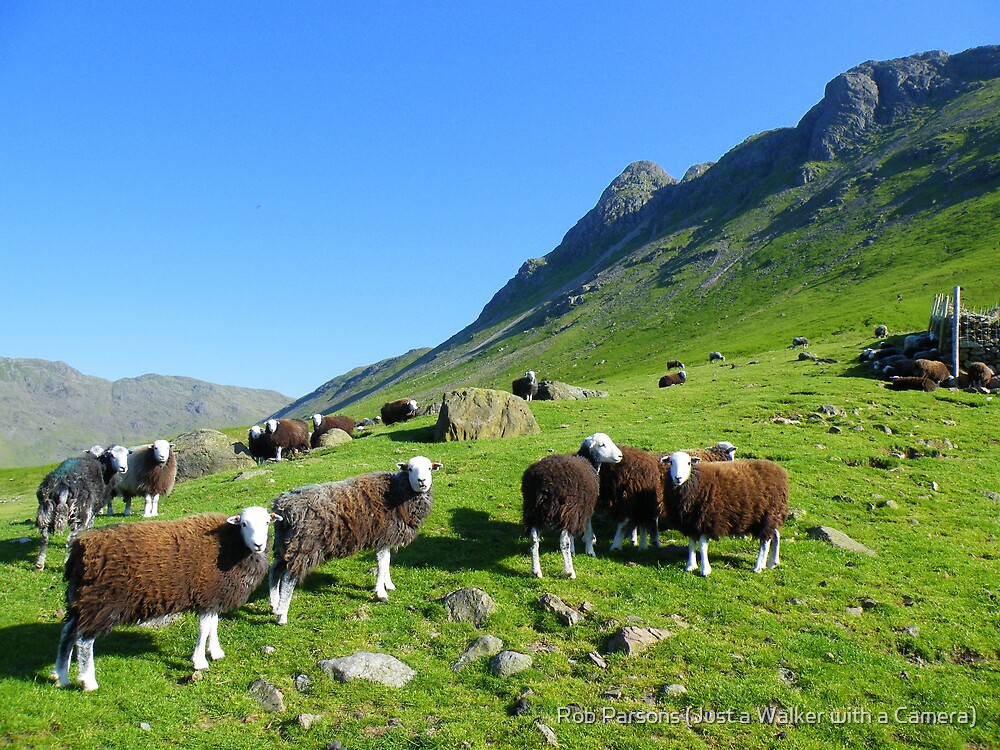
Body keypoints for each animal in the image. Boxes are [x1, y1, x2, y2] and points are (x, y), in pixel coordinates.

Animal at [52, 506, 280, 691]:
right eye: (243, 523)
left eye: (267, 522)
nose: (259, 545)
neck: (231, 544)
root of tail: (80, 549)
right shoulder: (207, 594)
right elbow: (204, 629)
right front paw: (199, 661)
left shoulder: (213, 597)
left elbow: (213, 625)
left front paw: (215, 652)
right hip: (102, 601)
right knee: (84, 640)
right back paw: (88, 681)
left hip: (81, 599)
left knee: (67, 632)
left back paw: (60, 676)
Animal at [268, 456, 442, 622]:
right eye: (410, 469)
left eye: (429, 468)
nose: (422, 481)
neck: (397, 492)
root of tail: (283, 508)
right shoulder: (384, 535)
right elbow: (383, 563)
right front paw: (381, 592)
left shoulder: (385, 538)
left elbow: (386, 562)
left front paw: (388, 585)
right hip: (305, 545)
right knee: (288, 578)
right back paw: (282, 615)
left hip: (286, 544)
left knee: (274, 569)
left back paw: (274, 604)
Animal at [521, 433, 623, 579]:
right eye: (601, 444)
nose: (620, 456)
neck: (588, 461)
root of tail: (543, 481)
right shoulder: (584, 509)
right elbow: (588, 529)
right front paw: (590, 551)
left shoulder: (577, 512)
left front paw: (574, 550)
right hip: (566, 509)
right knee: (563, 541)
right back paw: (569, 572)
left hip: (535, 511)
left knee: (534, 538)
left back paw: (536, 571)